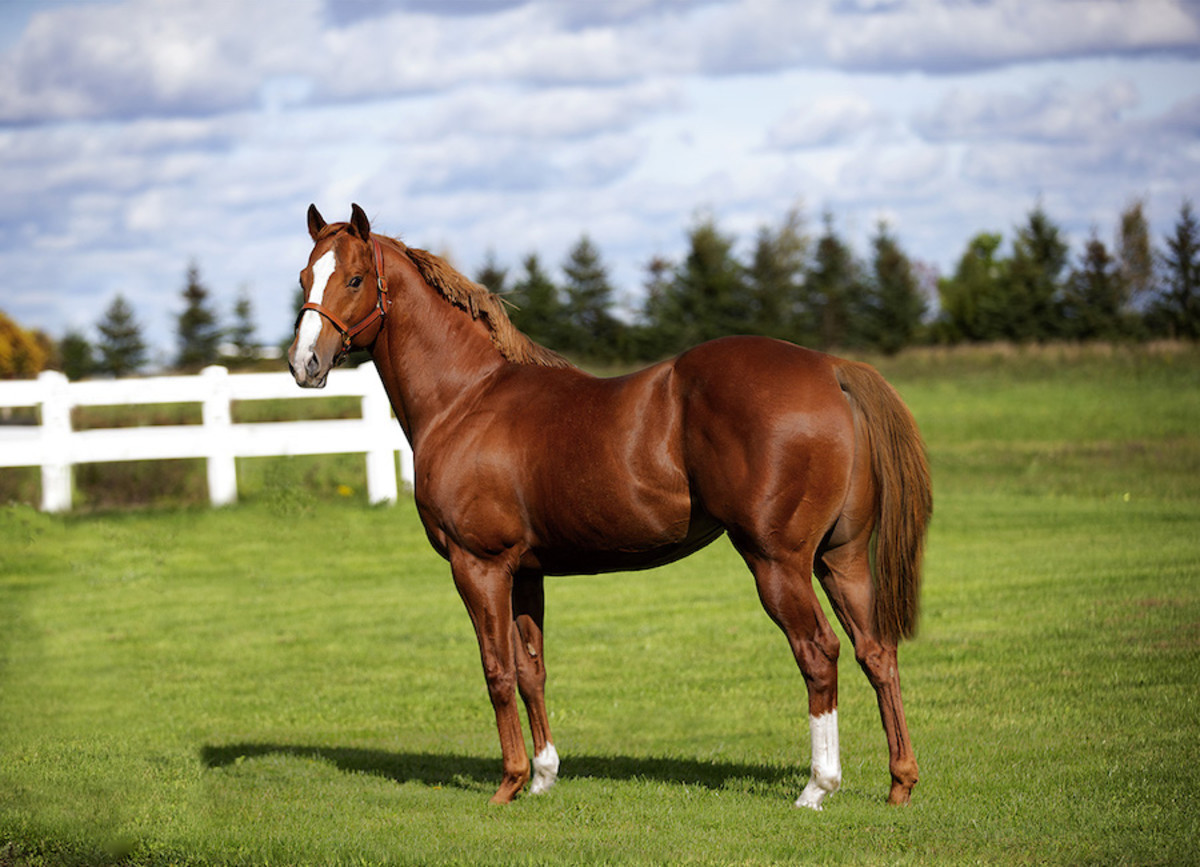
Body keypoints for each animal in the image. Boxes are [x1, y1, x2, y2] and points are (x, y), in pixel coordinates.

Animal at [287, 204, 932, 809]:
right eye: (303, 277)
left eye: (352, 279)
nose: (304, 364)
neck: (466, 399)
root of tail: (830, 368)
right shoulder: (526, 572)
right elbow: (531, 668)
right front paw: (543, 777)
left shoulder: (479, 565)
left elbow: (497, 670)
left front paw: (509, 783)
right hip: (840, 558)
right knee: (876, 652)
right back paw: (899, 782)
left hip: (778, 562)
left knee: (819, 654)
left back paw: (818, 787)